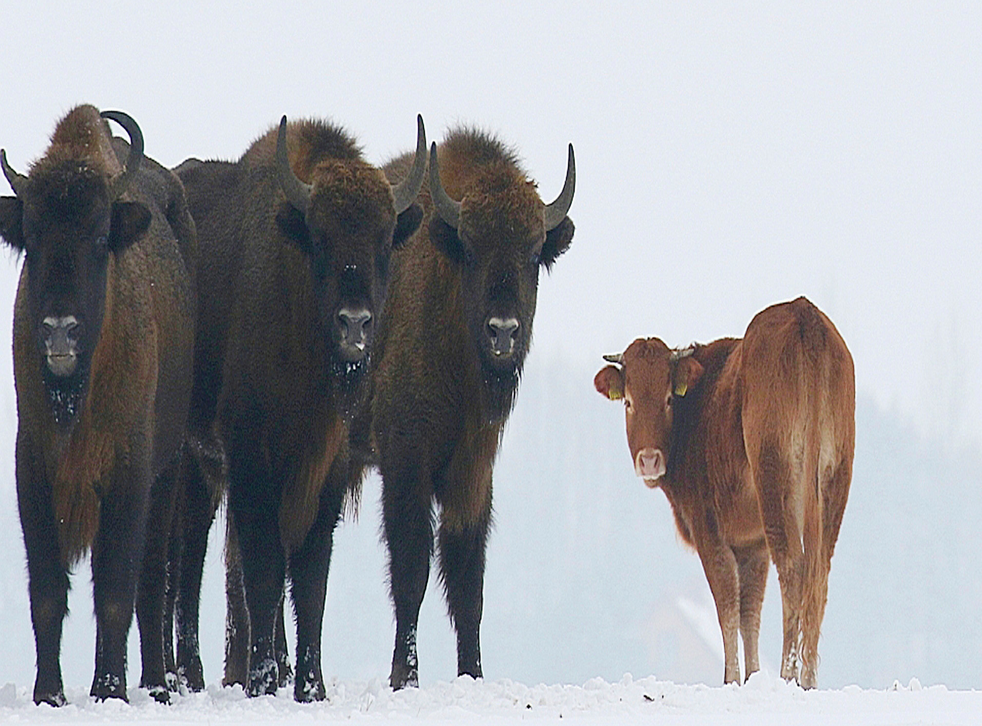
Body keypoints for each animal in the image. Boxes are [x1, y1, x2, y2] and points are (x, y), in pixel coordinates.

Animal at [0, 105, 196, 705]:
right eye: (32, 235)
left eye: (100, 235)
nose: (59, 330)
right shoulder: (33, 466)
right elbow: (47, 589)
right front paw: (49, 694)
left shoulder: (130, 471)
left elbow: (115, 589)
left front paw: (110, 689)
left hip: (168, 471)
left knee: (152, 584)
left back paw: (155, 683)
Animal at [170, 115, 426, 701]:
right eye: (321, 239)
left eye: (385, 241)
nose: (355, 323)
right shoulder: (252, 459)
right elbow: (264, 567)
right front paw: (264, 680)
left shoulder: (328, 466)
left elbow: (311, 574)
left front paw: (312, 687)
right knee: (185, 560)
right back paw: (185, 675)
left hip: (203, 468)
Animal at [361, 128, 575, 689]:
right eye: (473, 250)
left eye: (532, 252)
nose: (503, 331)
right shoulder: (404, 460)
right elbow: (412, 566)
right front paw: (405, 677)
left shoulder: (474, 468)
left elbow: (466, 580)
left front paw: (472, 674)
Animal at [594, 297, 854, 689]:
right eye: (628, 401)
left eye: (668, 398)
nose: (650, 460)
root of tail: (803, 315)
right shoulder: (752, 544)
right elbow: (750, 611)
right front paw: (752, 676)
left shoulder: (710, 530)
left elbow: (727, 602)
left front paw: (732, 678)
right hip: (836, 478)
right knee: (819, 571)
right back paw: (808, 680)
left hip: (775, 477)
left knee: (793, 566)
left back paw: (789, 674)